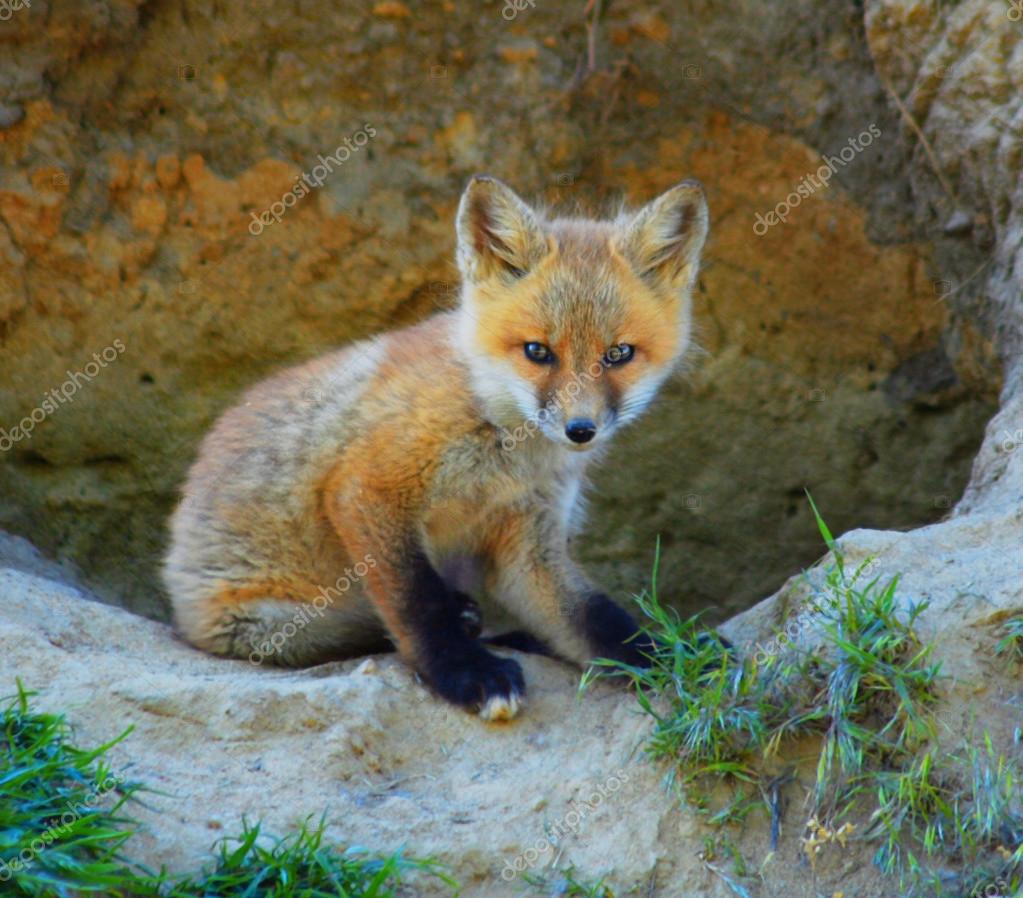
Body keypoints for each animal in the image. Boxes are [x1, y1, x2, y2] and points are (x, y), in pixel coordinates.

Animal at [164, 175, 709, 721]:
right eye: (538, 352)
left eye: (618, 355)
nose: (581, 430)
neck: (503, 447)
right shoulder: (368, 490)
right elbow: (418, 604)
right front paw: (465, 672)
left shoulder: (526, 543)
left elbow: (598, 621)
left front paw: (676, 660)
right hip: (275, 628)